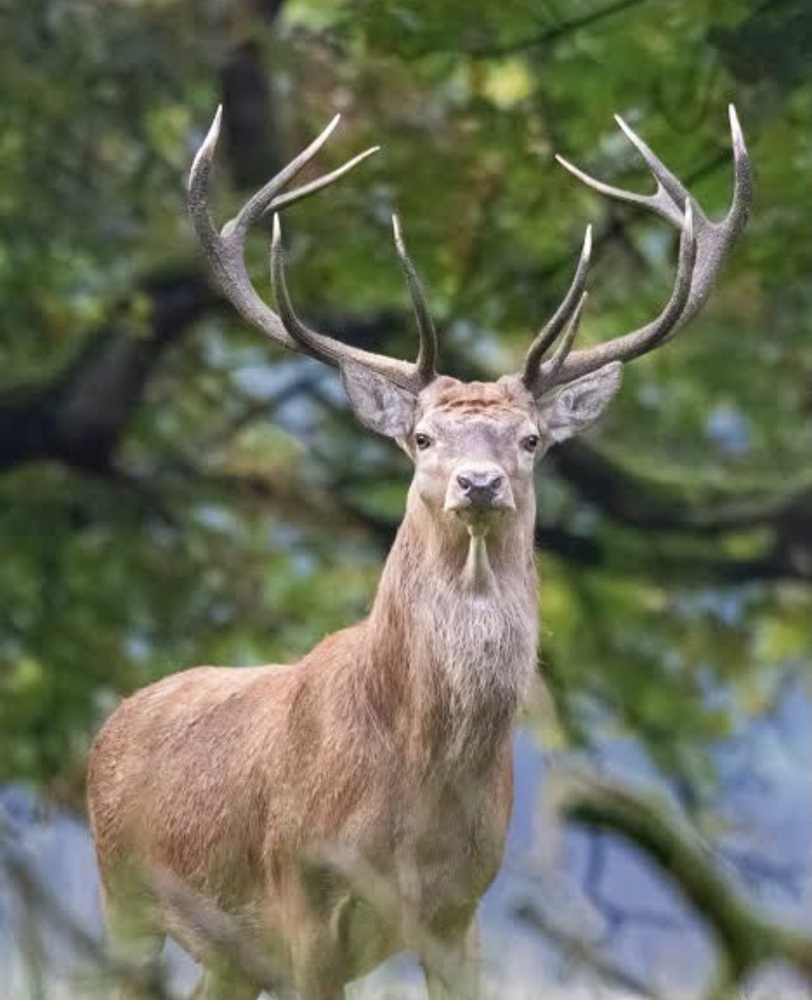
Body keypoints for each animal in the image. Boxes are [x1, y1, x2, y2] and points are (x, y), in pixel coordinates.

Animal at [87, 105, 751, 1000]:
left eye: (531, 440)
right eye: (423, 437)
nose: (479, 482)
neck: (416, 790)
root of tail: (112, 722)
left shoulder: (460, 908)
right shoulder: (305, 896)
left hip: (228, 948)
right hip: (122, 895)